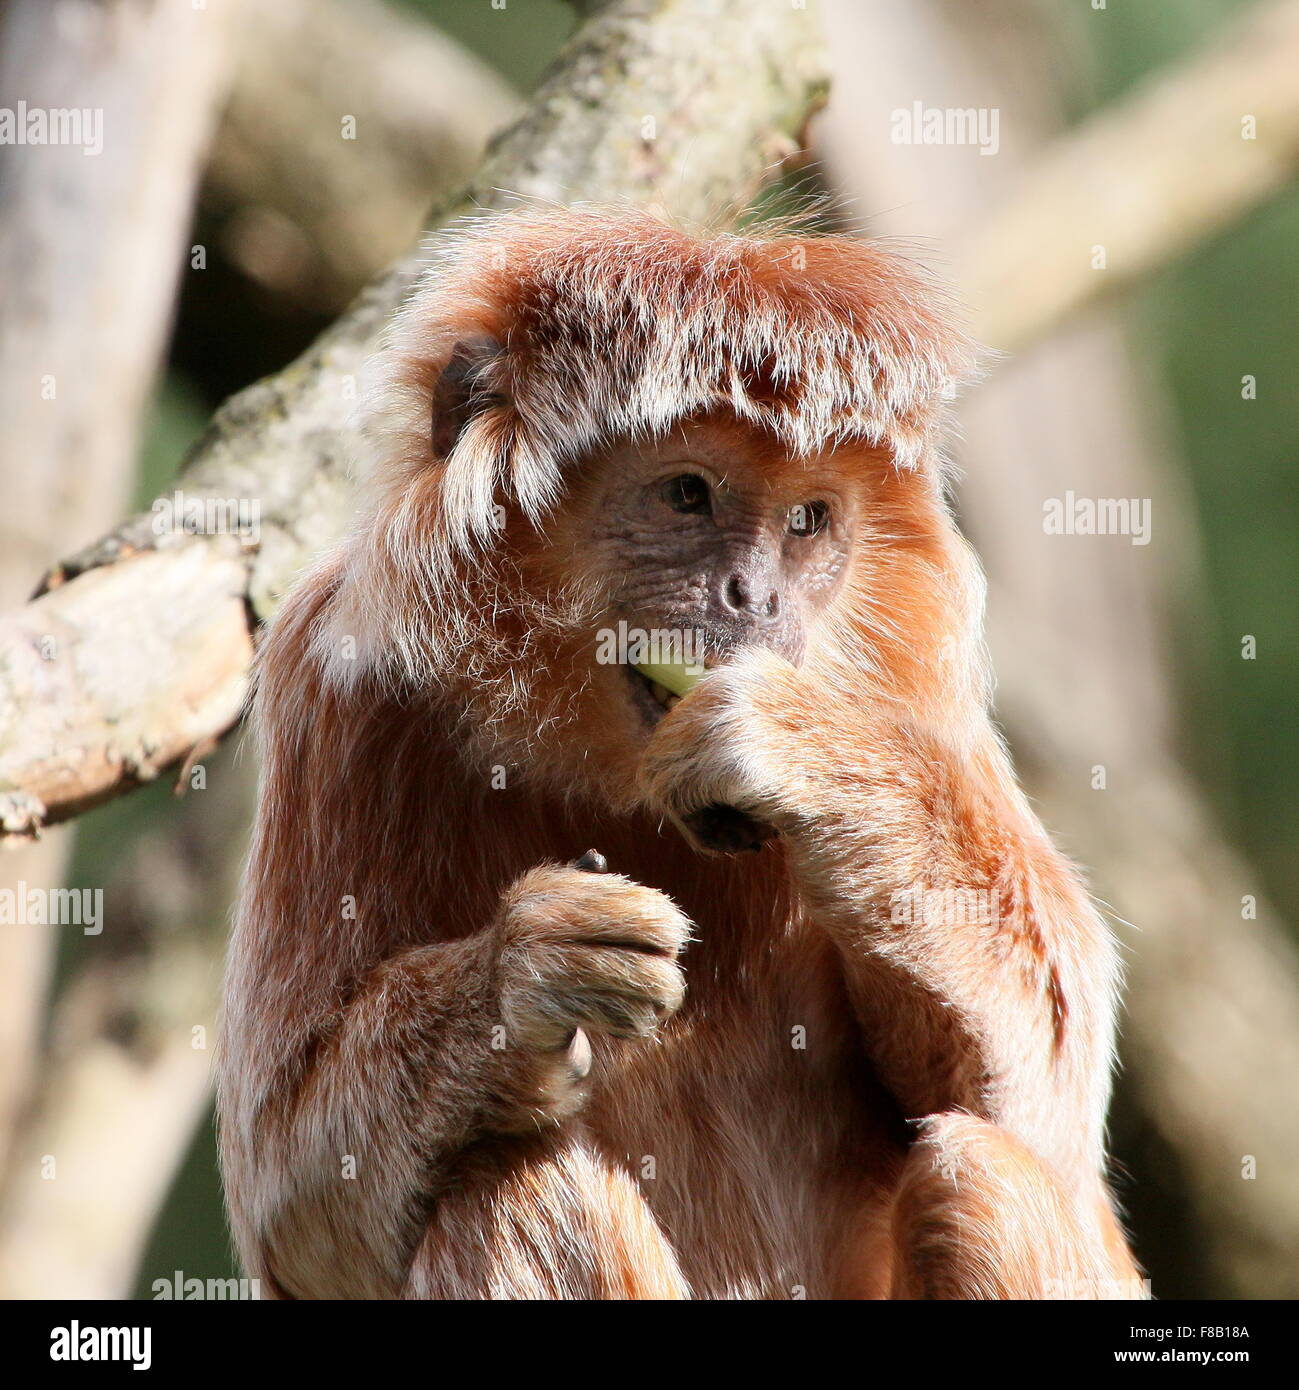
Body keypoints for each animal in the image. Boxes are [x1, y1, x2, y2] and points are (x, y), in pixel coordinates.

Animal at [217, 206, 1143, 1300]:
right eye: (689, 496)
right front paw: (519, 975)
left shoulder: (915, 687)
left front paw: (800, 753)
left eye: (806, 520)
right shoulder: (332, 681)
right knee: (507, 1179)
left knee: (986, 1167)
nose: (758, 597)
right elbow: (290, 1199)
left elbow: (1039, 1084)